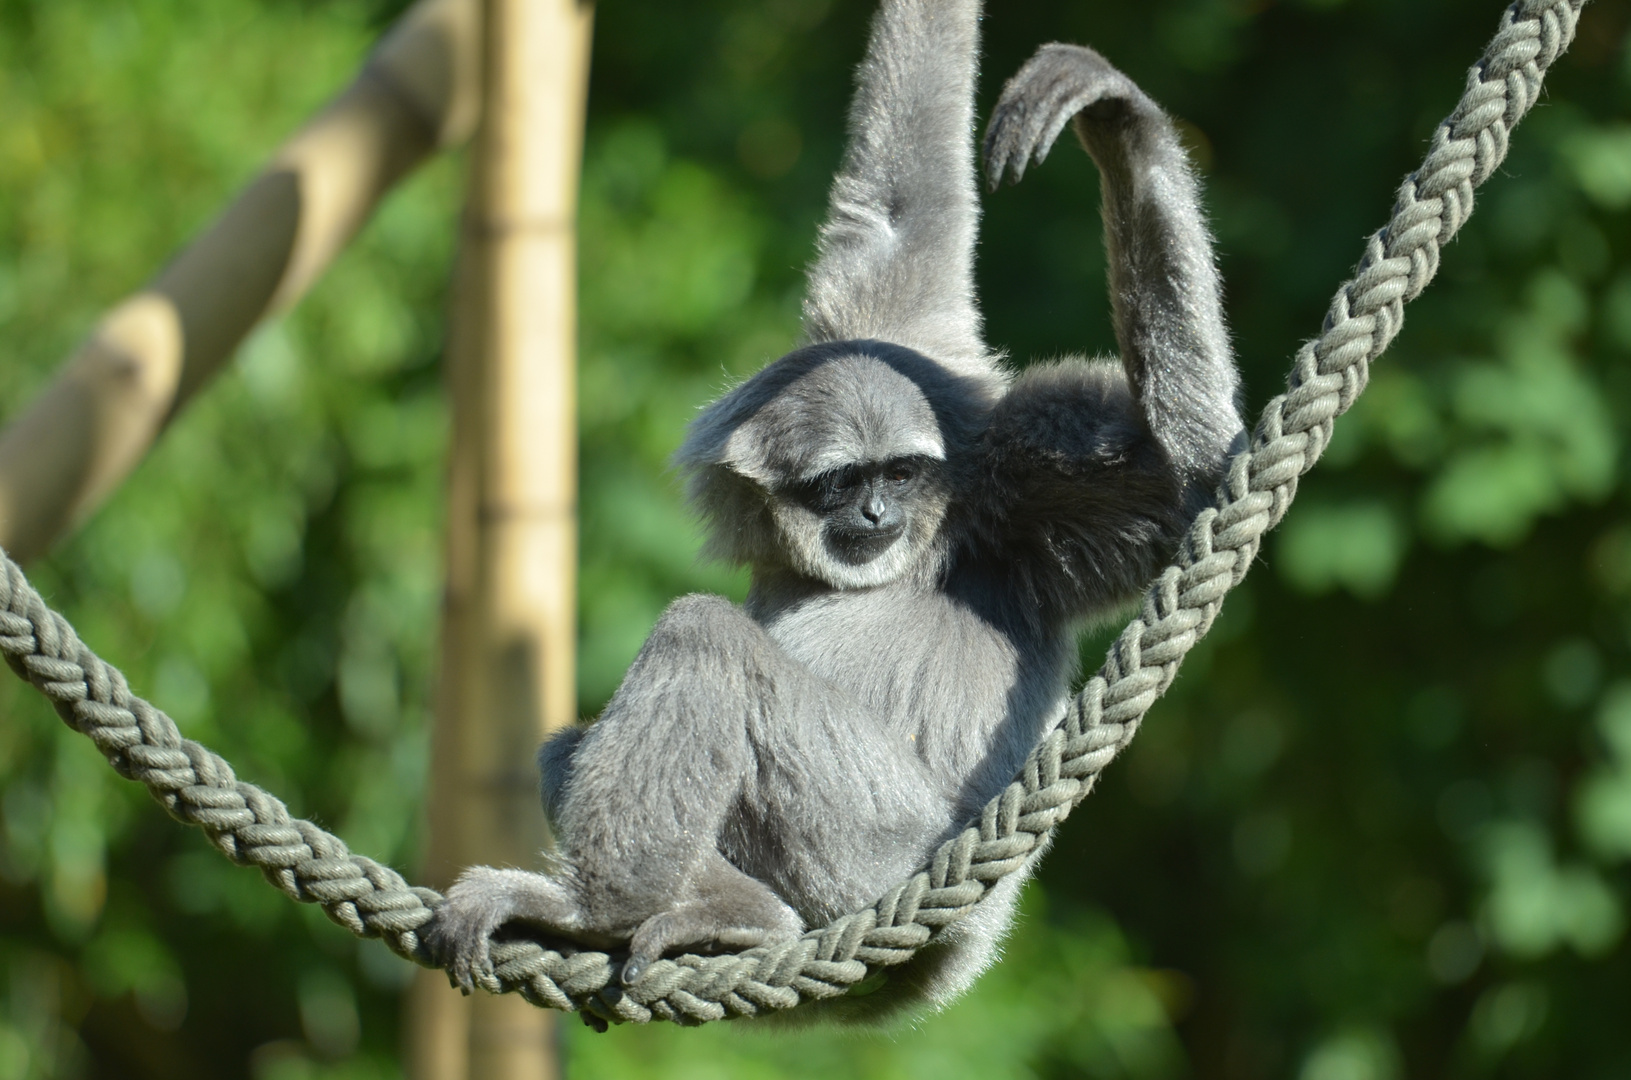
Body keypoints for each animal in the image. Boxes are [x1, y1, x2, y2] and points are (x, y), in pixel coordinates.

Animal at [426, 1, 1244, 1023]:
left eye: (898, 473)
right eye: (837, 483)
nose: (876, 514)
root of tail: (959, 946)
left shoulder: (1018, 486)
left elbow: (1197, 479)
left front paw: (1118, 122)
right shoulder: (911, 364)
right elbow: (895, 215)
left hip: (876, 843)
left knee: (702, 637)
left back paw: (598, 912)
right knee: (569, 743)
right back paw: (728, 913)